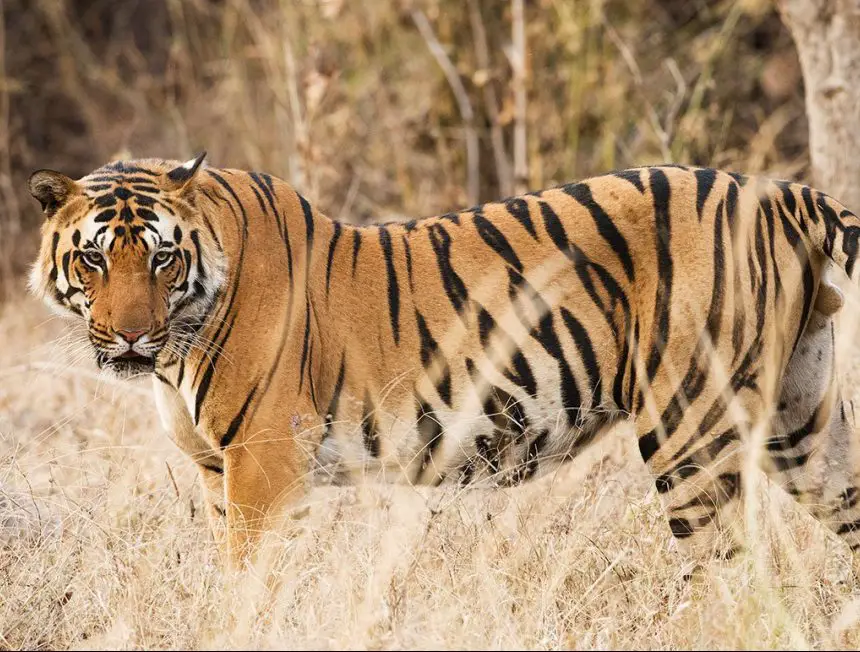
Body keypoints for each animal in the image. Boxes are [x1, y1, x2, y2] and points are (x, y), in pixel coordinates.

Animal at [27, 154, 860, 572]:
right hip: (804, 421)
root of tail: (785, 194)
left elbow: (248, 585)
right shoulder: (214, 470)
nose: (131, 338)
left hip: (689, 427)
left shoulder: (264, 462)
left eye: (162, 259)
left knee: (731, 580)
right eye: (94, 260)